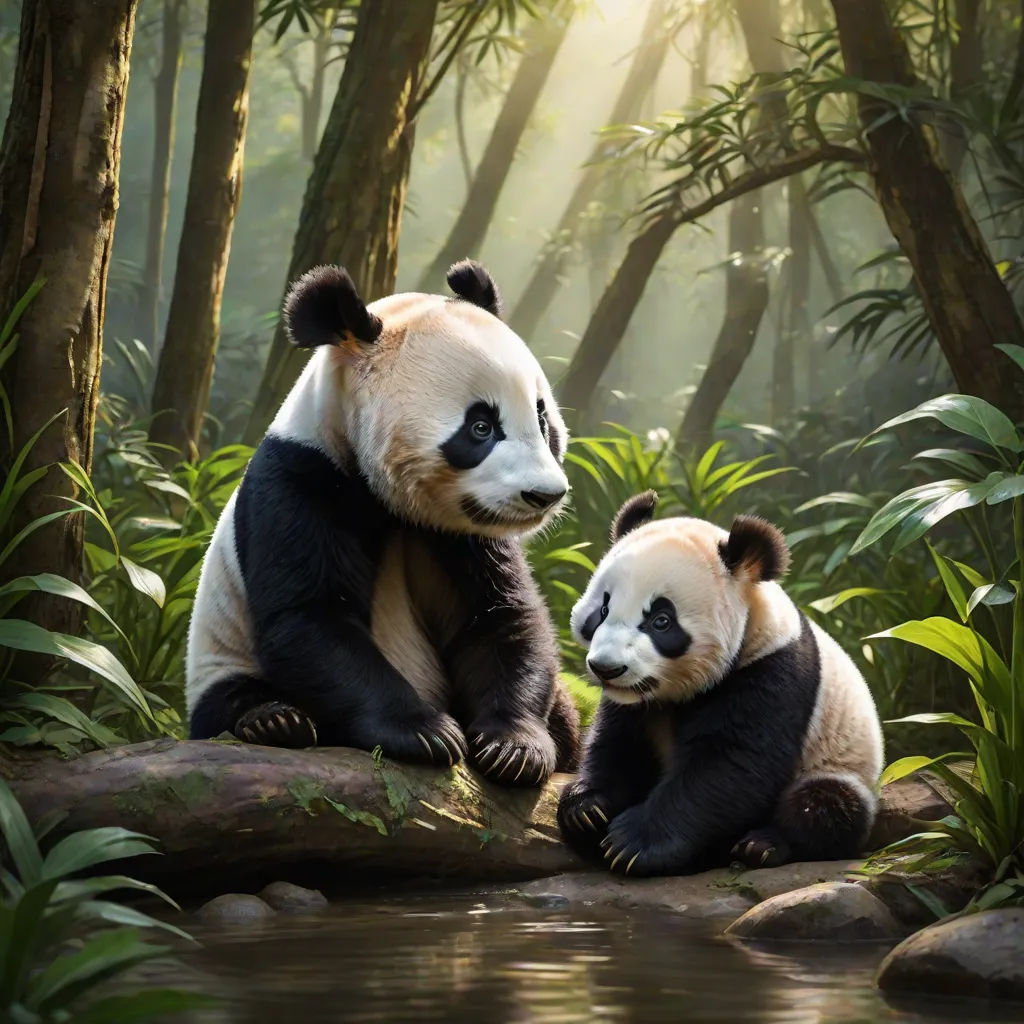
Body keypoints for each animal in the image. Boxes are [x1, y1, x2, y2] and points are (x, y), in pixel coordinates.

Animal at [186, 260, 580, 786]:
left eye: (542, 418)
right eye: (480, 427)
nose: (544, 494)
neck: (393, 504)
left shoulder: (463, 531)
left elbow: (501, 617)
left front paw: (514, 747)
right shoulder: (302, 481)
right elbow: (313, 621)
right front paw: (424, 732)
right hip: (220, 653)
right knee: (227, 699)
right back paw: (272, 721)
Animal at [558, 491, 883, 874]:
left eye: (661, 620)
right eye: (603, 610)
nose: (606, 668)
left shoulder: (771, 671)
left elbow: (729, 765)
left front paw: (632, 843)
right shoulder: (634, 702)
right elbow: (618, 740)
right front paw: (586, 809)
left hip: (840, 764)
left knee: (826, 806)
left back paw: (762, 846)